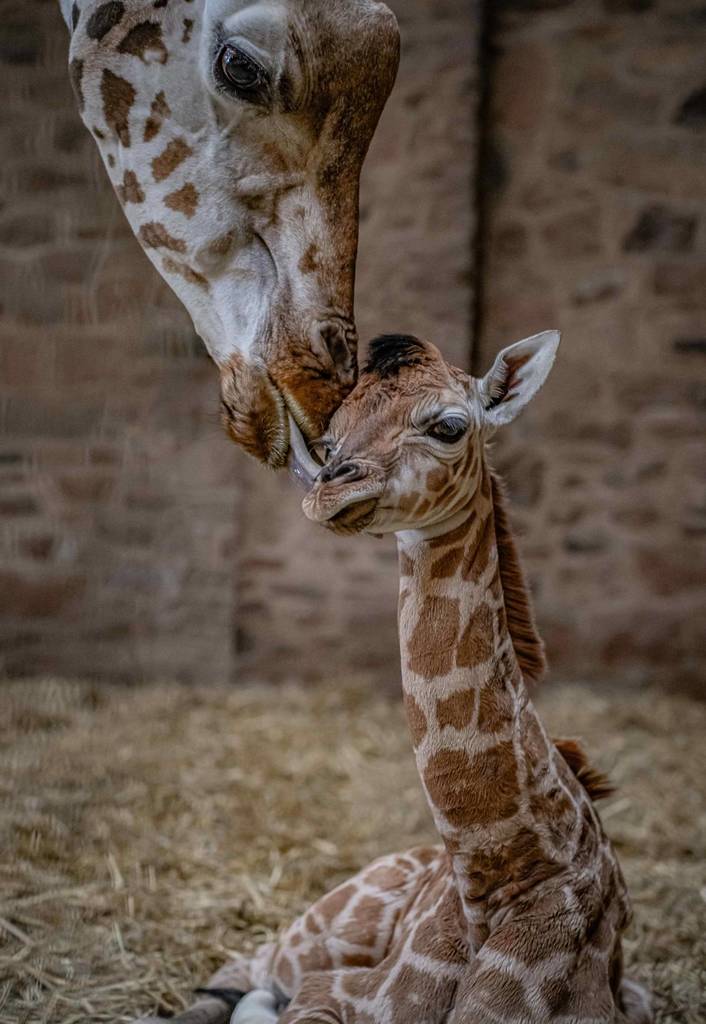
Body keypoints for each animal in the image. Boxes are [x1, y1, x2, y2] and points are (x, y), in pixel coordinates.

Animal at [134, 332, 652, 1024]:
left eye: (449, 425)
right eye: (329, 439)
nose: (327, 490)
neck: (503, 877)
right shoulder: (341, 992)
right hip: (315, 936)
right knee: (243, 967)